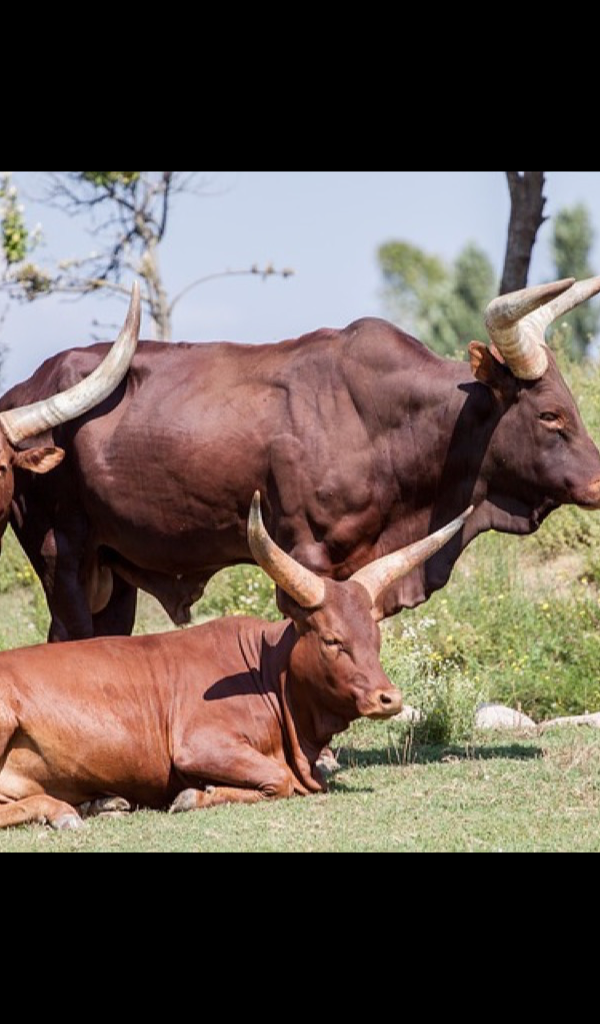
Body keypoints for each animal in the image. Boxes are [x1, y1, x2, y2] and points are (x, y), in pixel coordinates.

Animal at [0, 495, 471, 830]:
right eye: (332, 640)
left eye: (375, 638)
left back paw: (98, 802)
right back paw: (68, 810)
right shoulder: (200, 744)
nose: (389, 698)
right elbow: (278, 780)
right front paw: (194, 795)